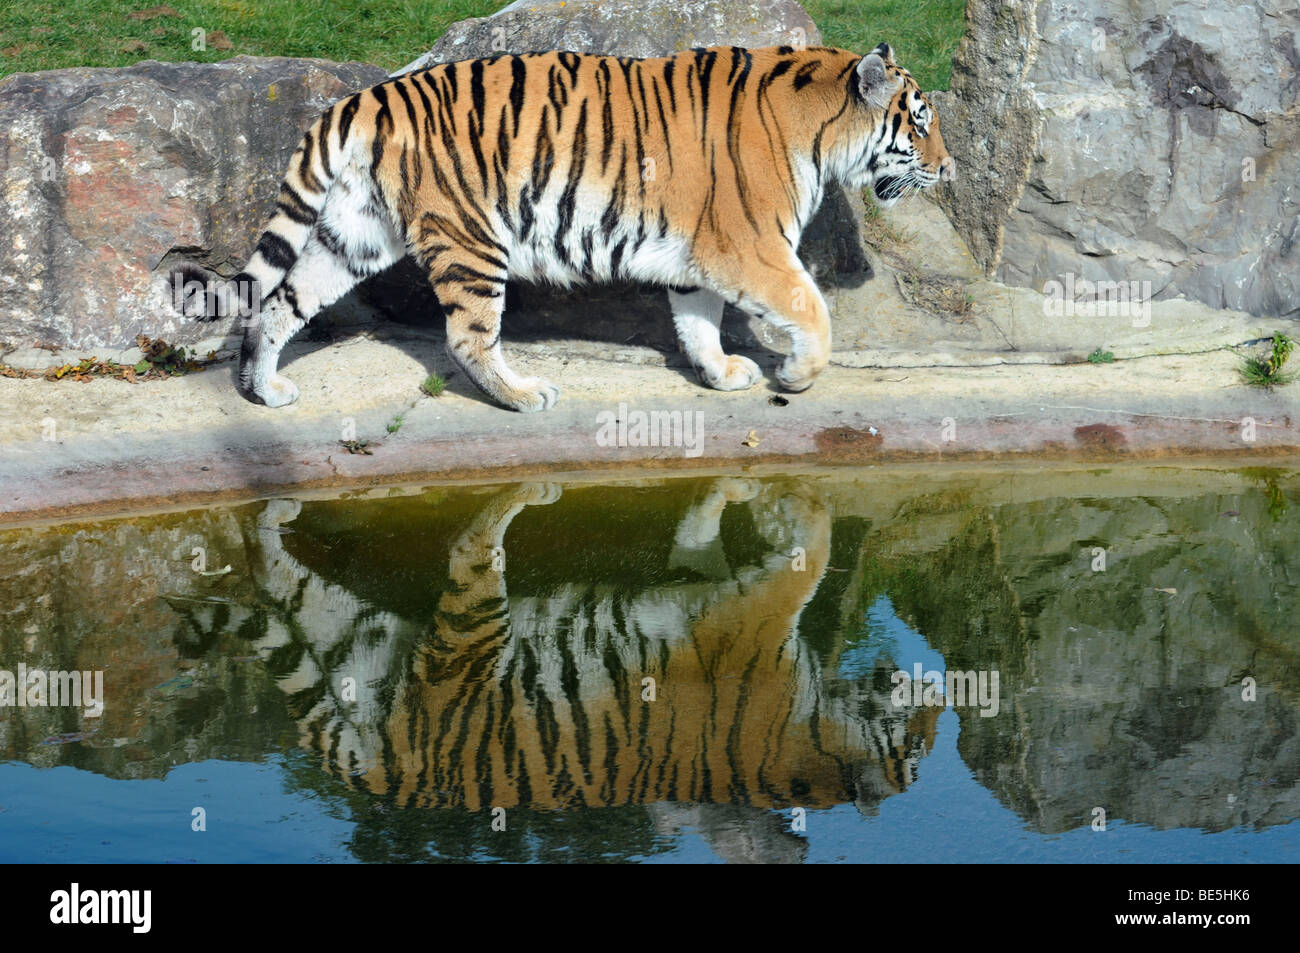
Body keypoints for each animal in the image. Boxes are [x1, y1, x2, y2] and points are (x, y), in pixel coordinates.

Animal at [175, 43, 953, 411]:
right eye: (919, 122)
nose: (948, 170)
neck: (819, 128)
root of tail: (368, 96)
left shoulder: (701, 255)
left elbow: (697, 320)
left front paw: (721, 373)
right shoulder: (751, 247)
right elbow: (813, 311)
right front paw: (794, 375)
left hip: (353, 234)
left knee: (280, 302)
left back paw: (262, 390)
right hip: (473, 239)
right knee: (467, 337)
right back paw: (524, 396)